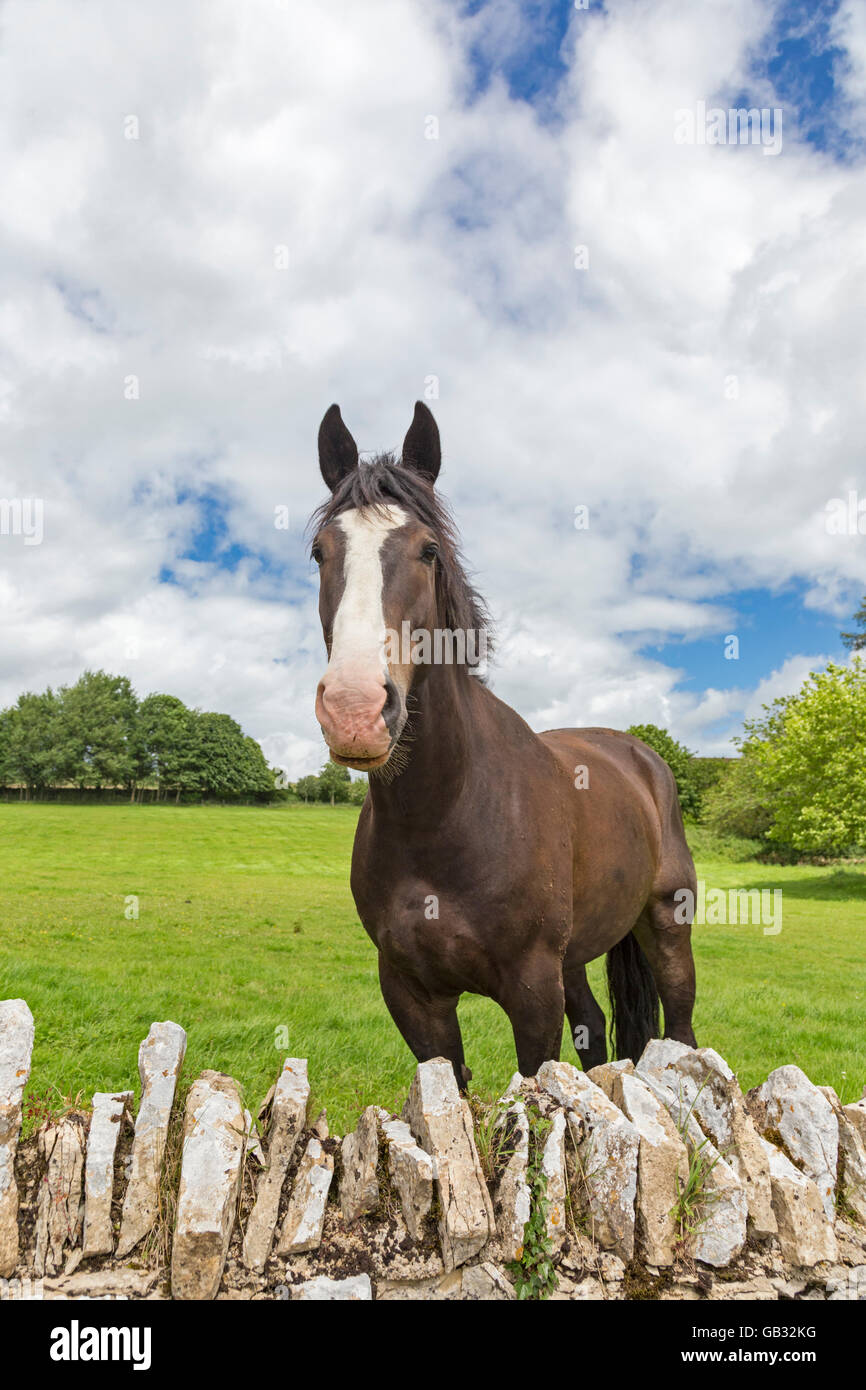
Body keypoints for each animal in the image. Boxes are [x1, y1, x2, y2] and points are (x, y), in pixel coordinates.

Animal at [309, 401, 697, 1087]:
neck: (444, 812)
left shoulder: (532, 989)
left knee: (680, 1030)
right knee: (594, 1025)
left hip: (665, 927)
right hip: (575, 958)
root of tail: (642, 758)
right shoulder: (413, 997)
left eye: (428, 550)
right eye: (319, 552)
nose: (354, 709)